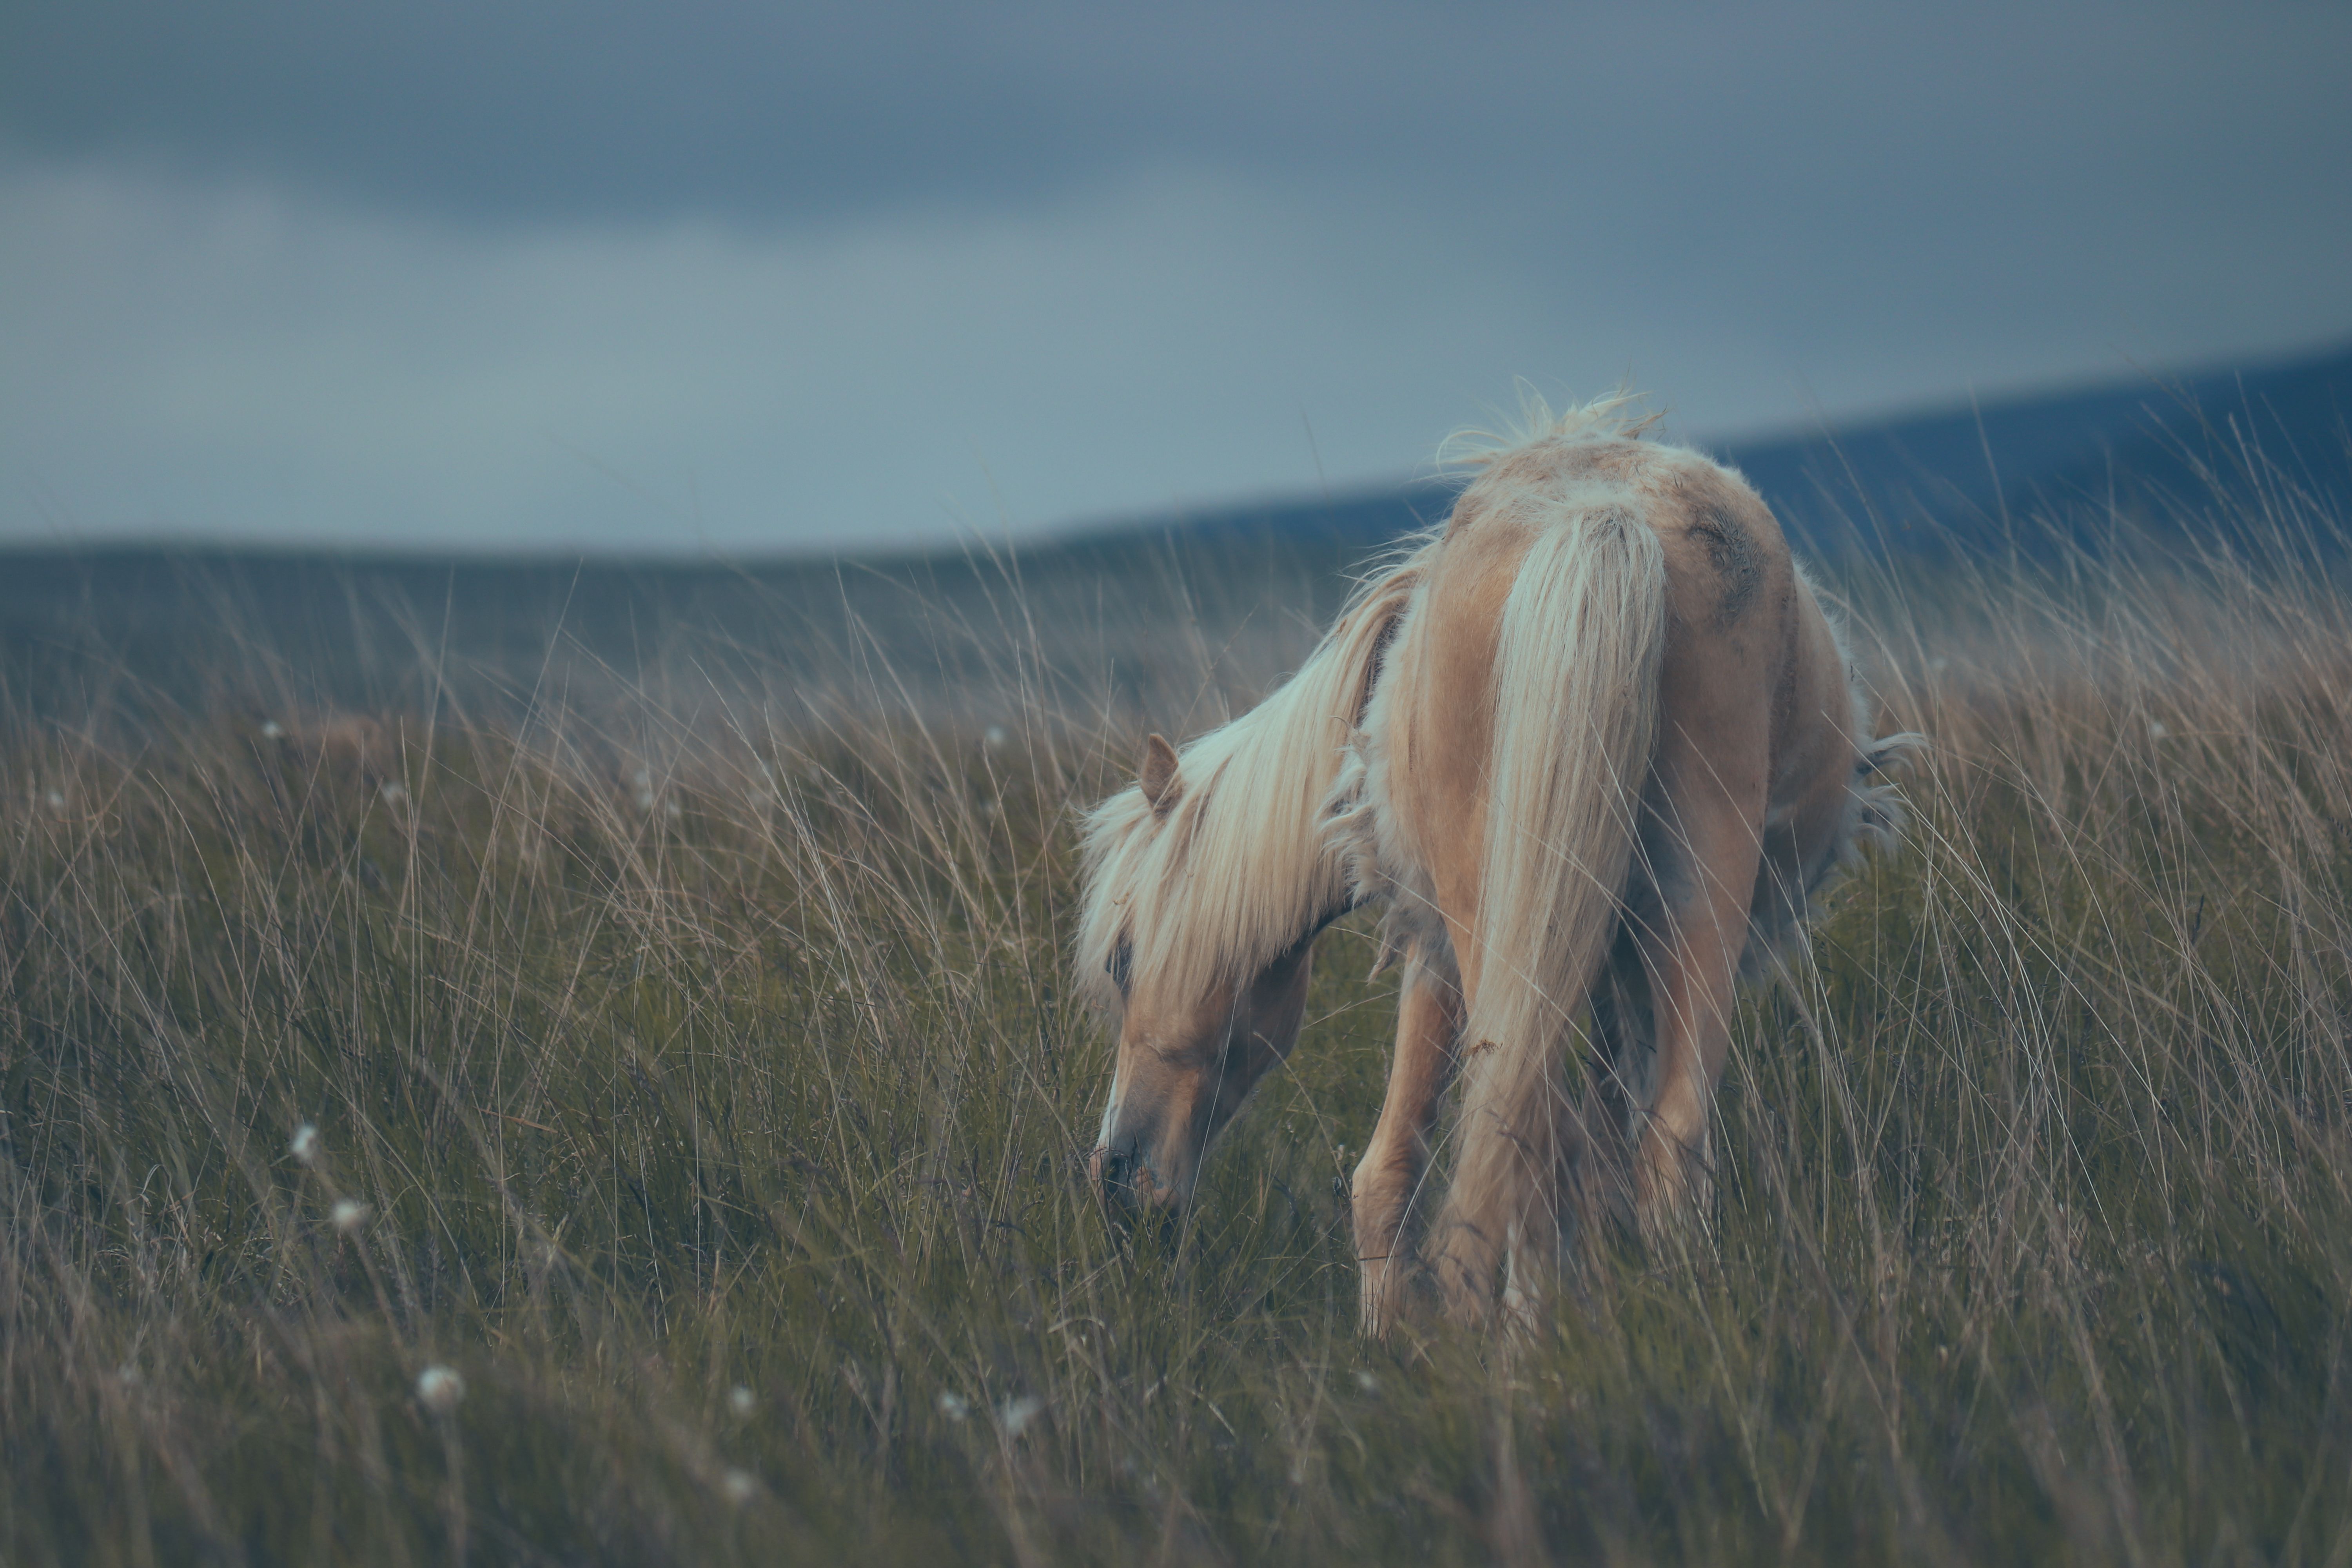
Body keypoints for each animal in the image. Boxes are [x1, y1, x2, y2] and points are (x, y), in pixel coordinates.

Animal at [1076, 396, 1922, 1332]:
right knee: (1661, 1139)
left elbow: (1390, 1174)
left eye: (1122, 959)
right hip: (1695, 904)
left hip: (1499, 931)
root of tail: (1606, 521)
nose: (1117, 1176)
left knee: (1523, 1136)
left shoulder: (1431, 946)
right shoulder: (1602, 963)